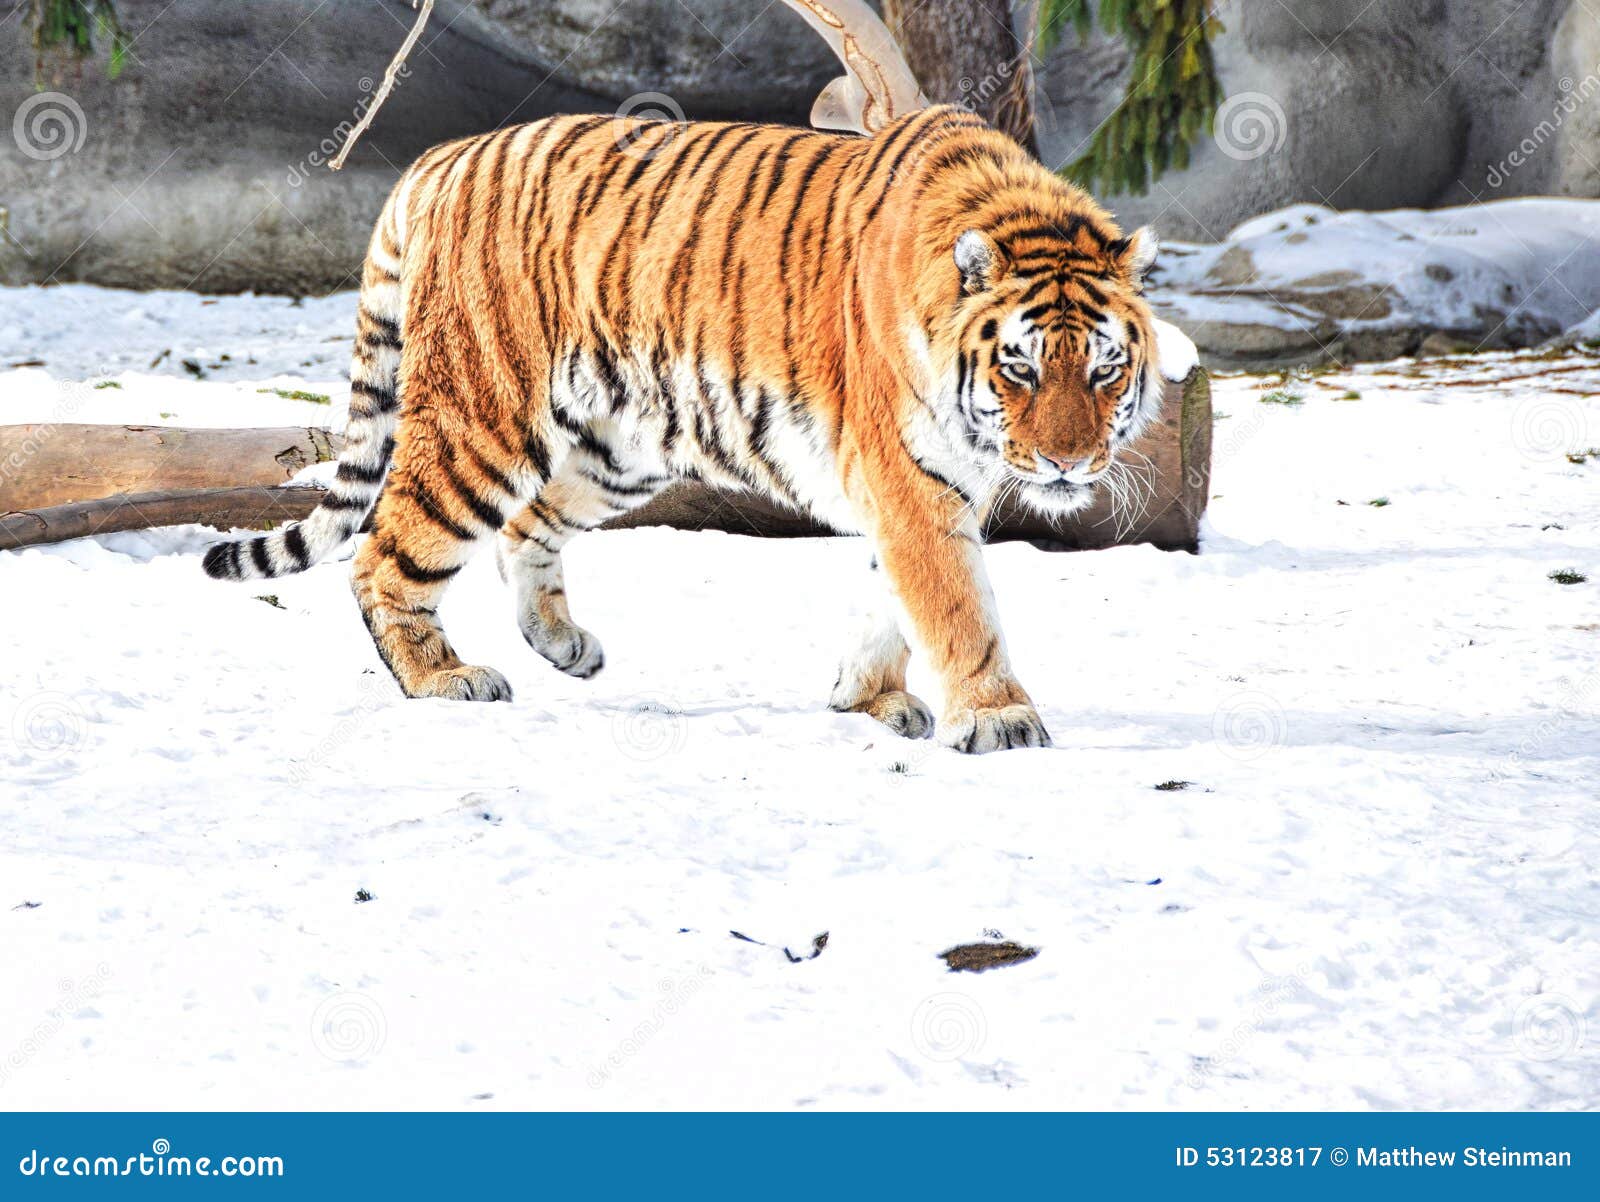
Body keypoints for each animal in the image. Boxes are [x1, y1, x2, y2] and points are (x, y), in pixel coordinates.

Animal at [202, 103, 1174, 754]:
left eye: (1103, 369)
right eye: (1020, 368)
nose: (1066, 462)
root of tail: (441, 156)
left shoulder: (919, 490)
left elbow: (891, 602)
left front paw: (866, 700)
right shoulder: (912, 484)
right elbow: (957, 606)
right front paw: (1001, 717)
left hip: (620, 449)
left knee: (527, 527)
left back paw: (562, 643)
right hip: (486, 422)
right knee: (385, 552)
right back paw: (443, 678)